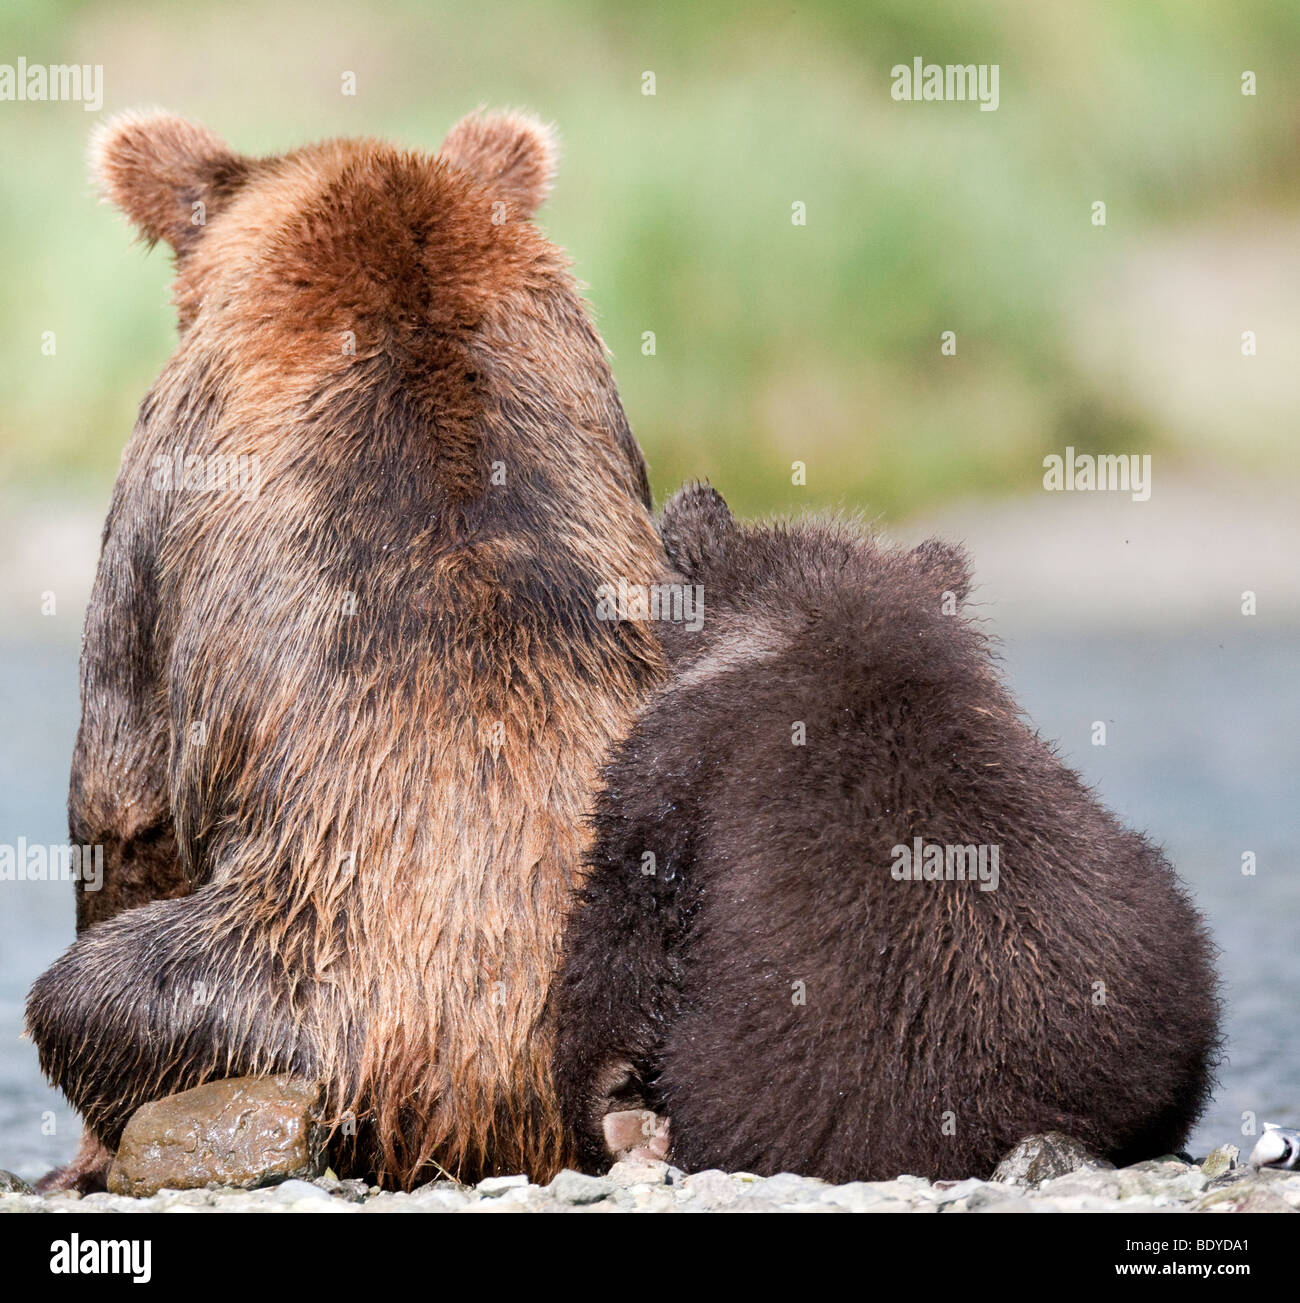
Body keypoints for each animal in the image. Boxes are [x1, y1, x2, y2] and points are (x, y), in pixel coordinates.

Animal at [26, 107, 667, 1192]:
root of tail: (497, 1082)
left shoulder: (165, 491)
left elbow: (122, 788)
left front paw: (76, 1155)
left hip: (293, 964)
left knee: (91, 993)